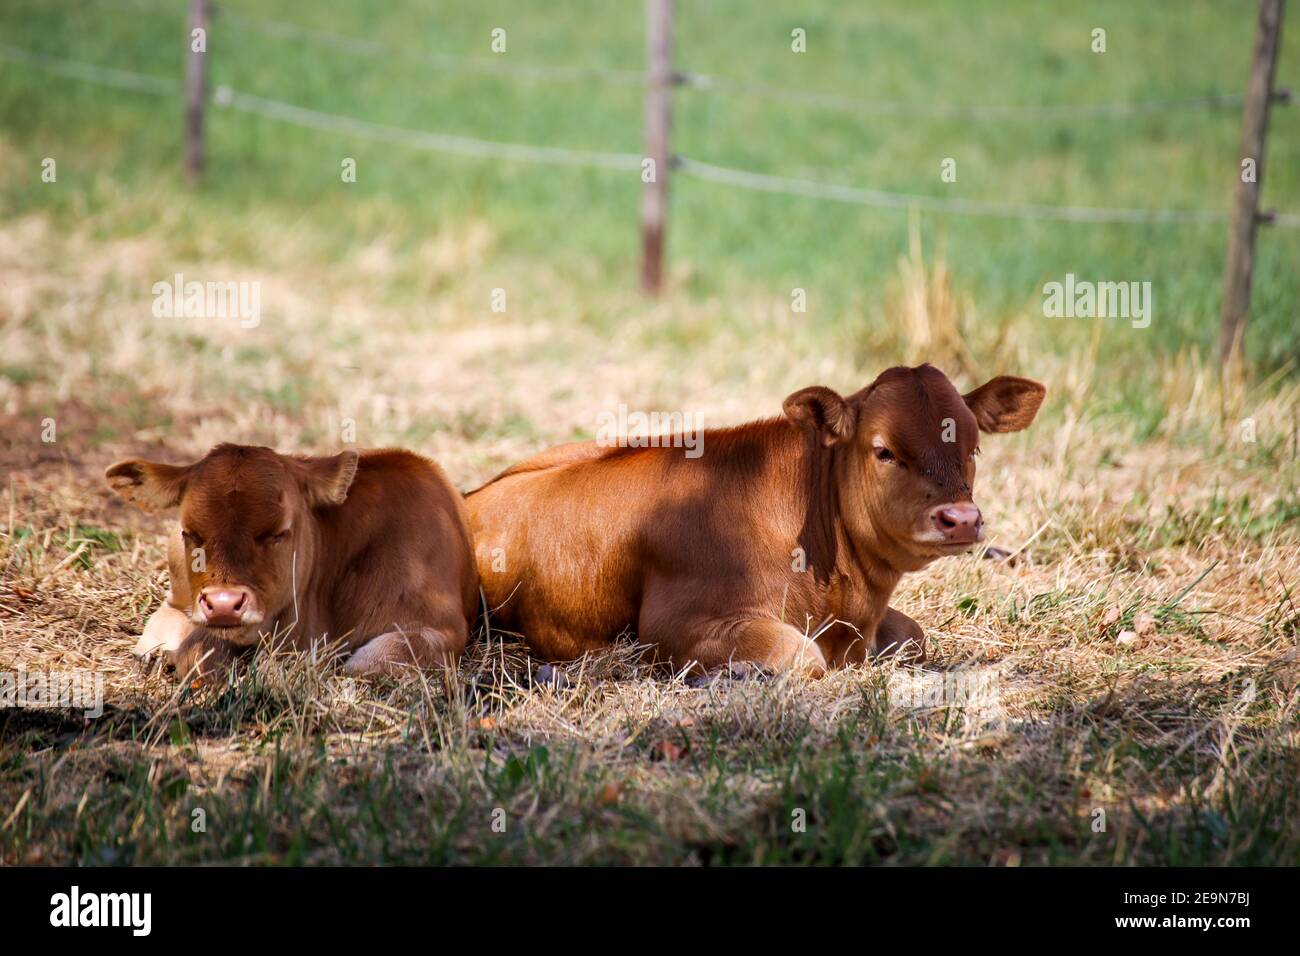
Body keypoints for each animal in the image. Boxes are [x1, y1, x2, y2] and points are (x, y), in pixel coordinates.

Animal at [105, 444, 478, 680]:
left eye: (280, 531)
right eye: (190, 532)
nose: (224, 604)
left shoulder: (440, 628)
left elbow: (364, 665)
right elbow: (195, 647)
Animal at [465, 364, 1045, 676]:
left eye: (973, 449)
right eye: (883, 451)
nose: (961, 519)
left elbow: (914, 634)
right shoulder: (677, 627)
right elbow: (802, 656)